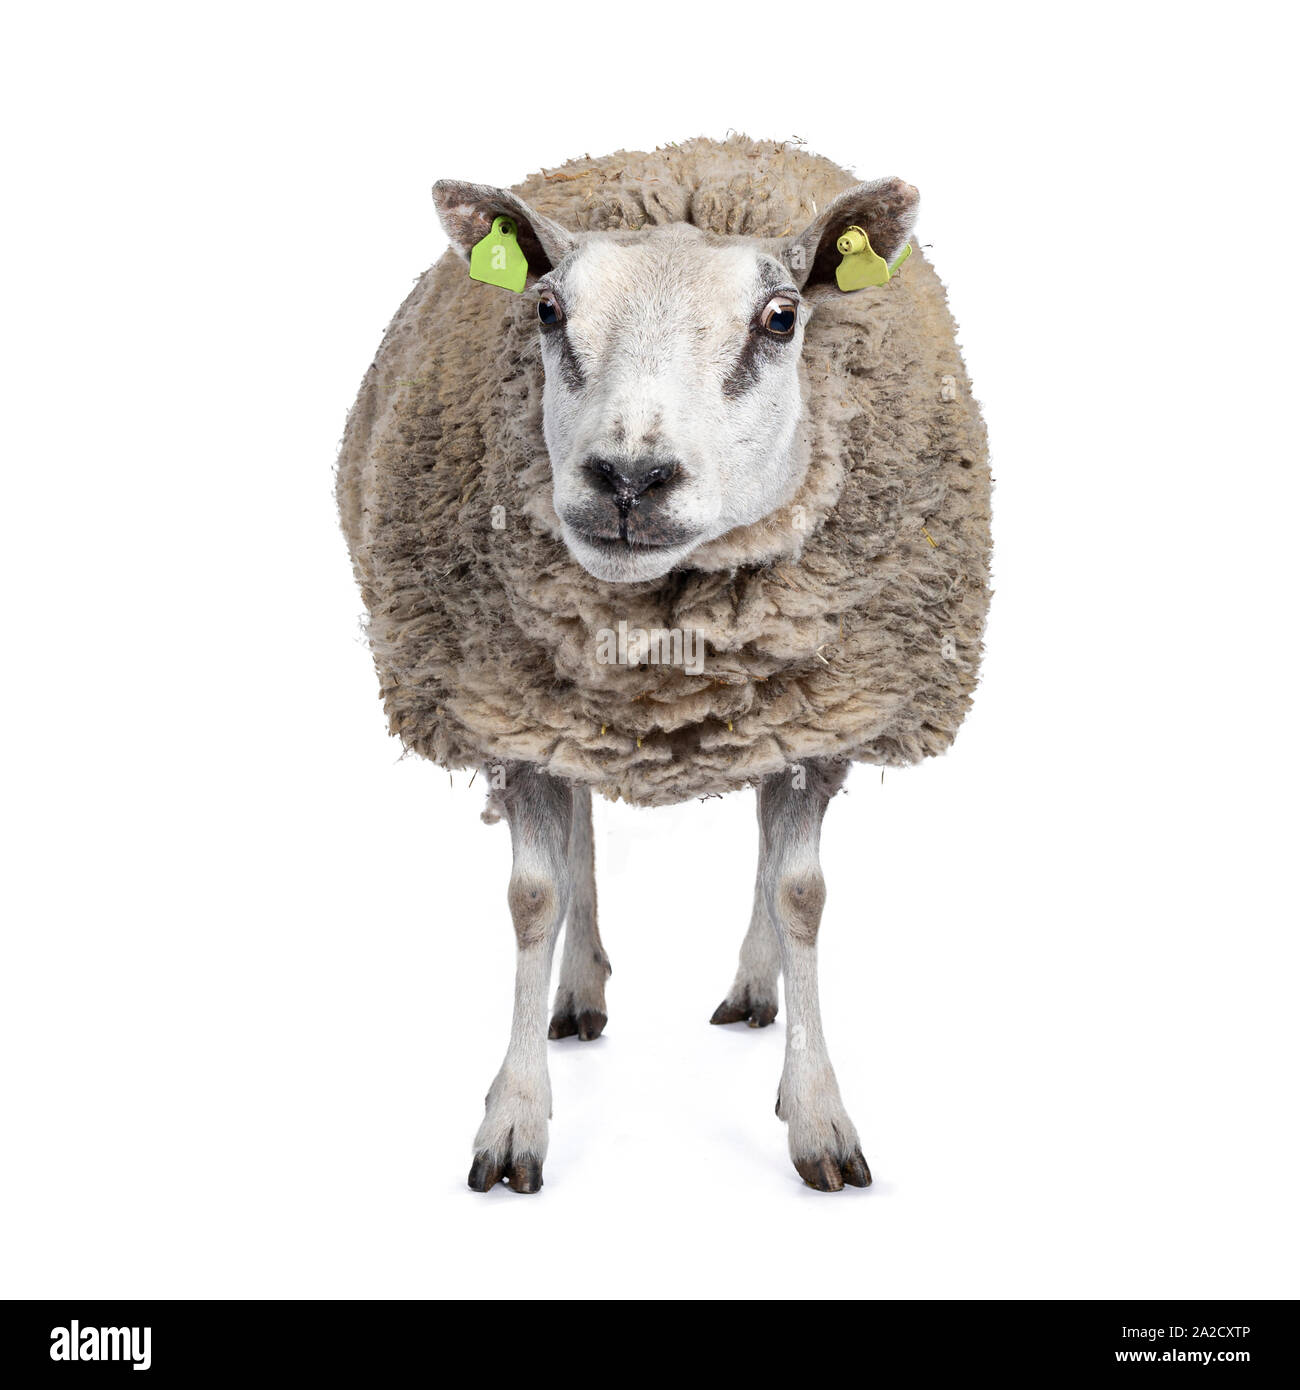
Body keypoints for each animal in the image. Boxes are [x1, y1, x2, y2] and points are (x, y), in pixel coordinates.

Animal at [336, 136, 991, 1193]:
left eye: (781, 317)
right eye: (547, 309)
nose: (630, 479)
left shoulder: (819, 720)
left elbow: (801, 895)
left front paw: (818, 1117)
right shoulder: (512, 716)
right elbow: (535, 896)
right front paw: (513, 1118)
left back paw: (757, 990)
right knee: (582, 830)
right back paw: (579, 994)